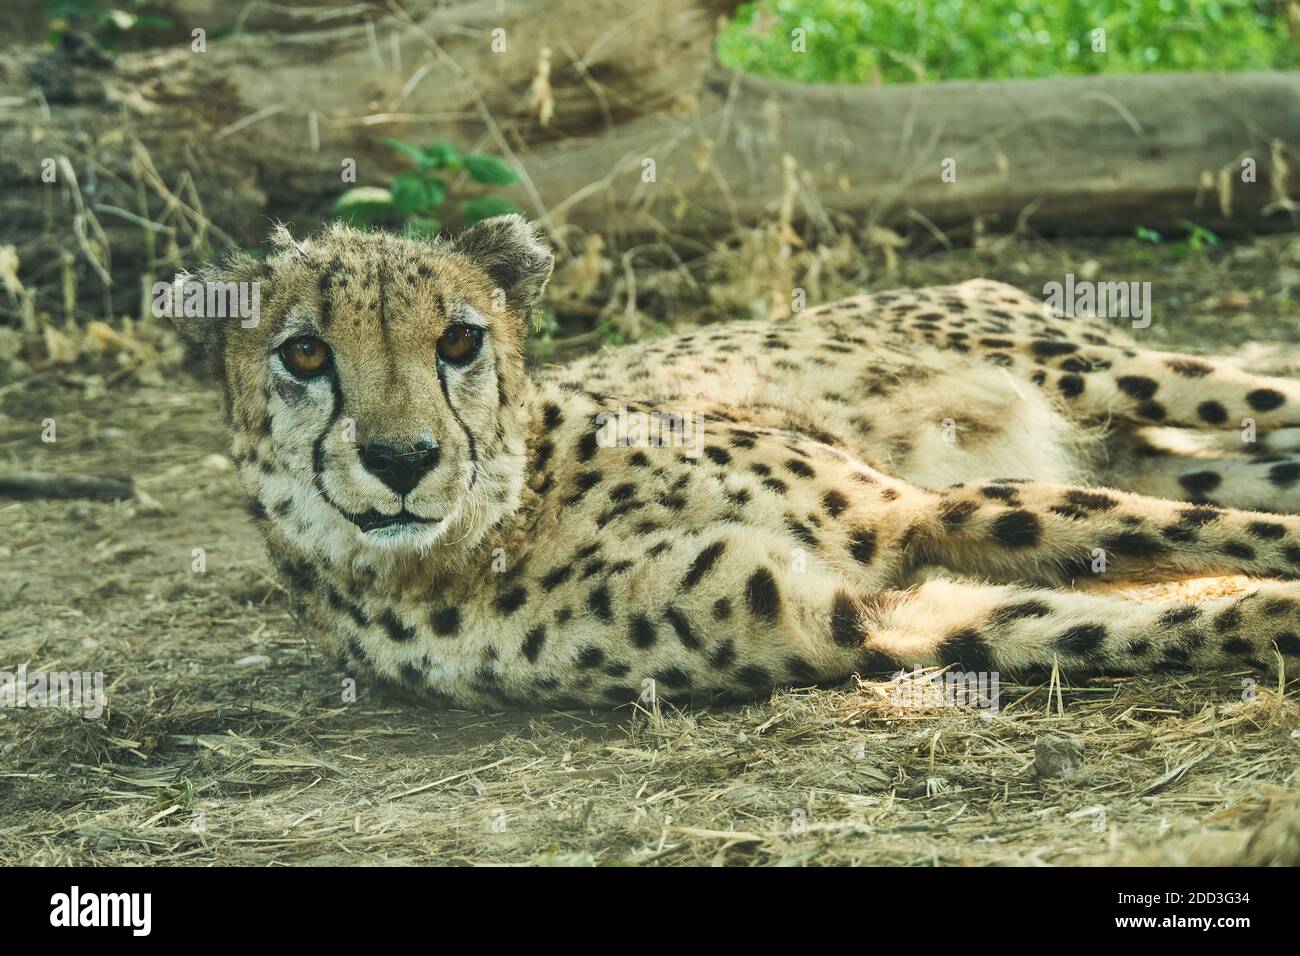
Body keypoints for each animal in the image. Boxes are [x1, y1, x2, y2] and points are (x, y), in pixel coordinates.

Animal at [174, 215, 1300, 709]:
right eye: (305, 354)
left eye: (457, 339)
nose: (402, 458)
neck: (506, 525)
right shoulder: (865, 617)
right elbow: (1126, 625)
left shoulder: (910, 515)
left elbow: (1228, 542)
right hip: (1142, 446)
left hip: (1119, 375)